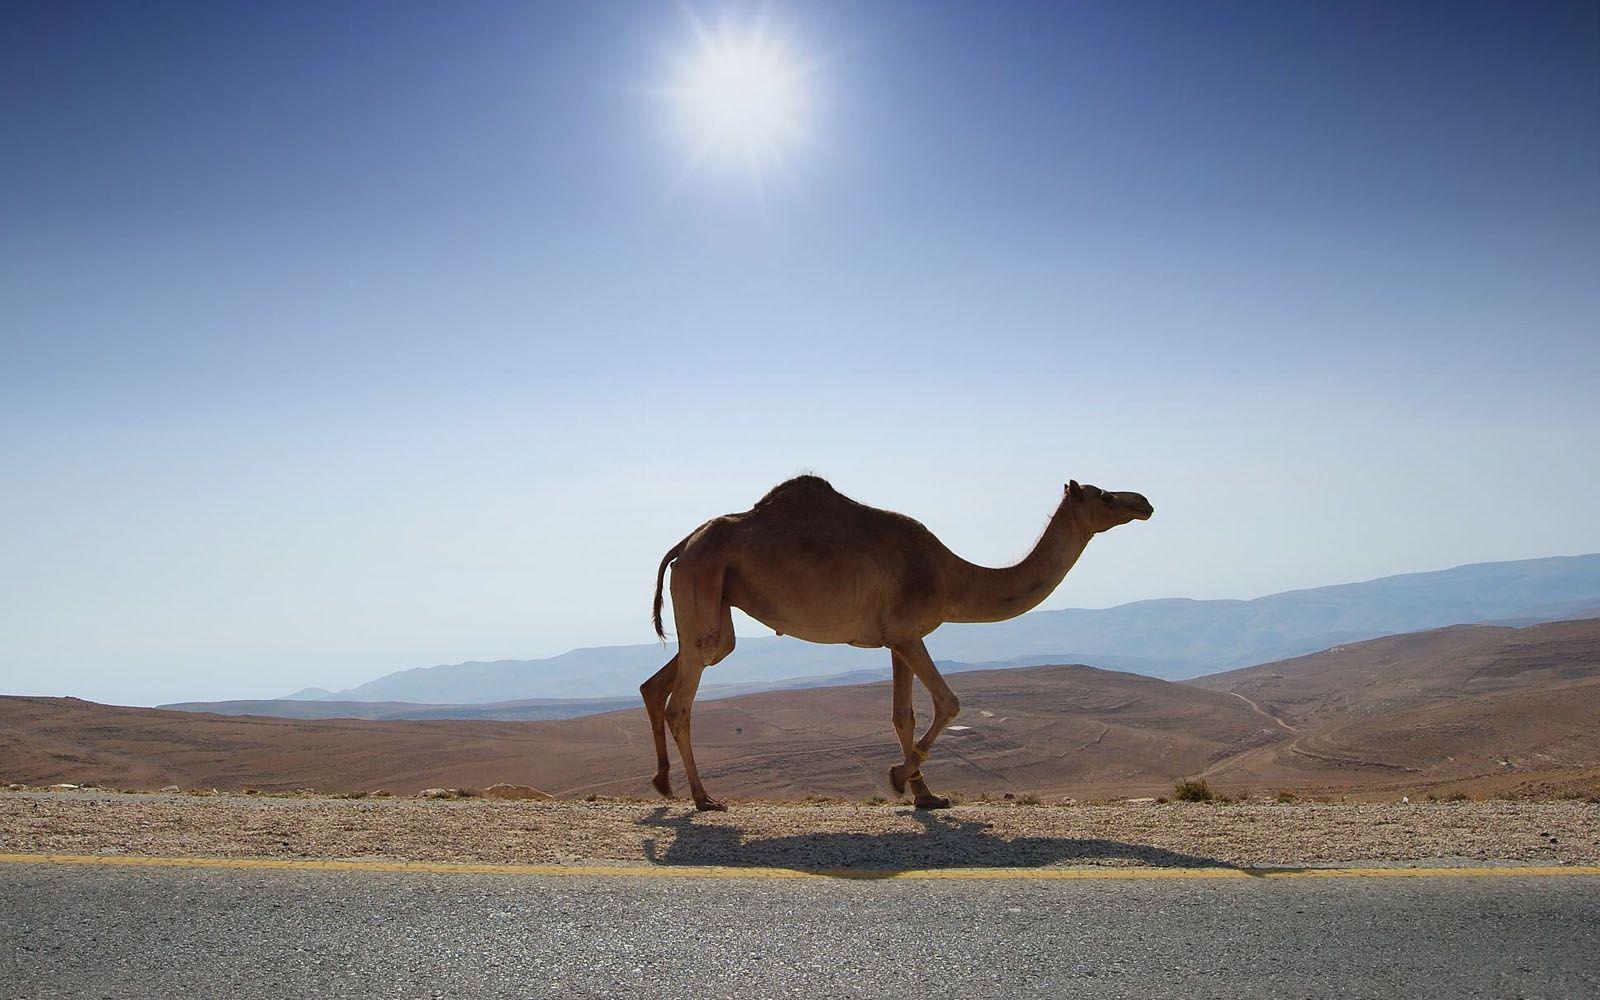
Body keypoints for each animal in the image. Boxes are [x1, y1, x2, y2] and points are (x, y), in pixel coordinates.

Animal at [640, 476, 1153, 811]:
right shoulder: (908, 631)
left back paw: (663, 784)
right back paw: (703, 798)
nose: (1144, 502)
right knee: (681, 700)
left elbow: (902, 715)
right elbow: (949, 702)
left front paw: (925, 794)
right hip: (705, 579)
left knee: (670, 674)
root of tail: (682, 545)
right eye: (1106, 496)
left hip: (712, 602)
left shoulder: (896, 640)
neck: (949, 576)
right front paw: (898, 777)